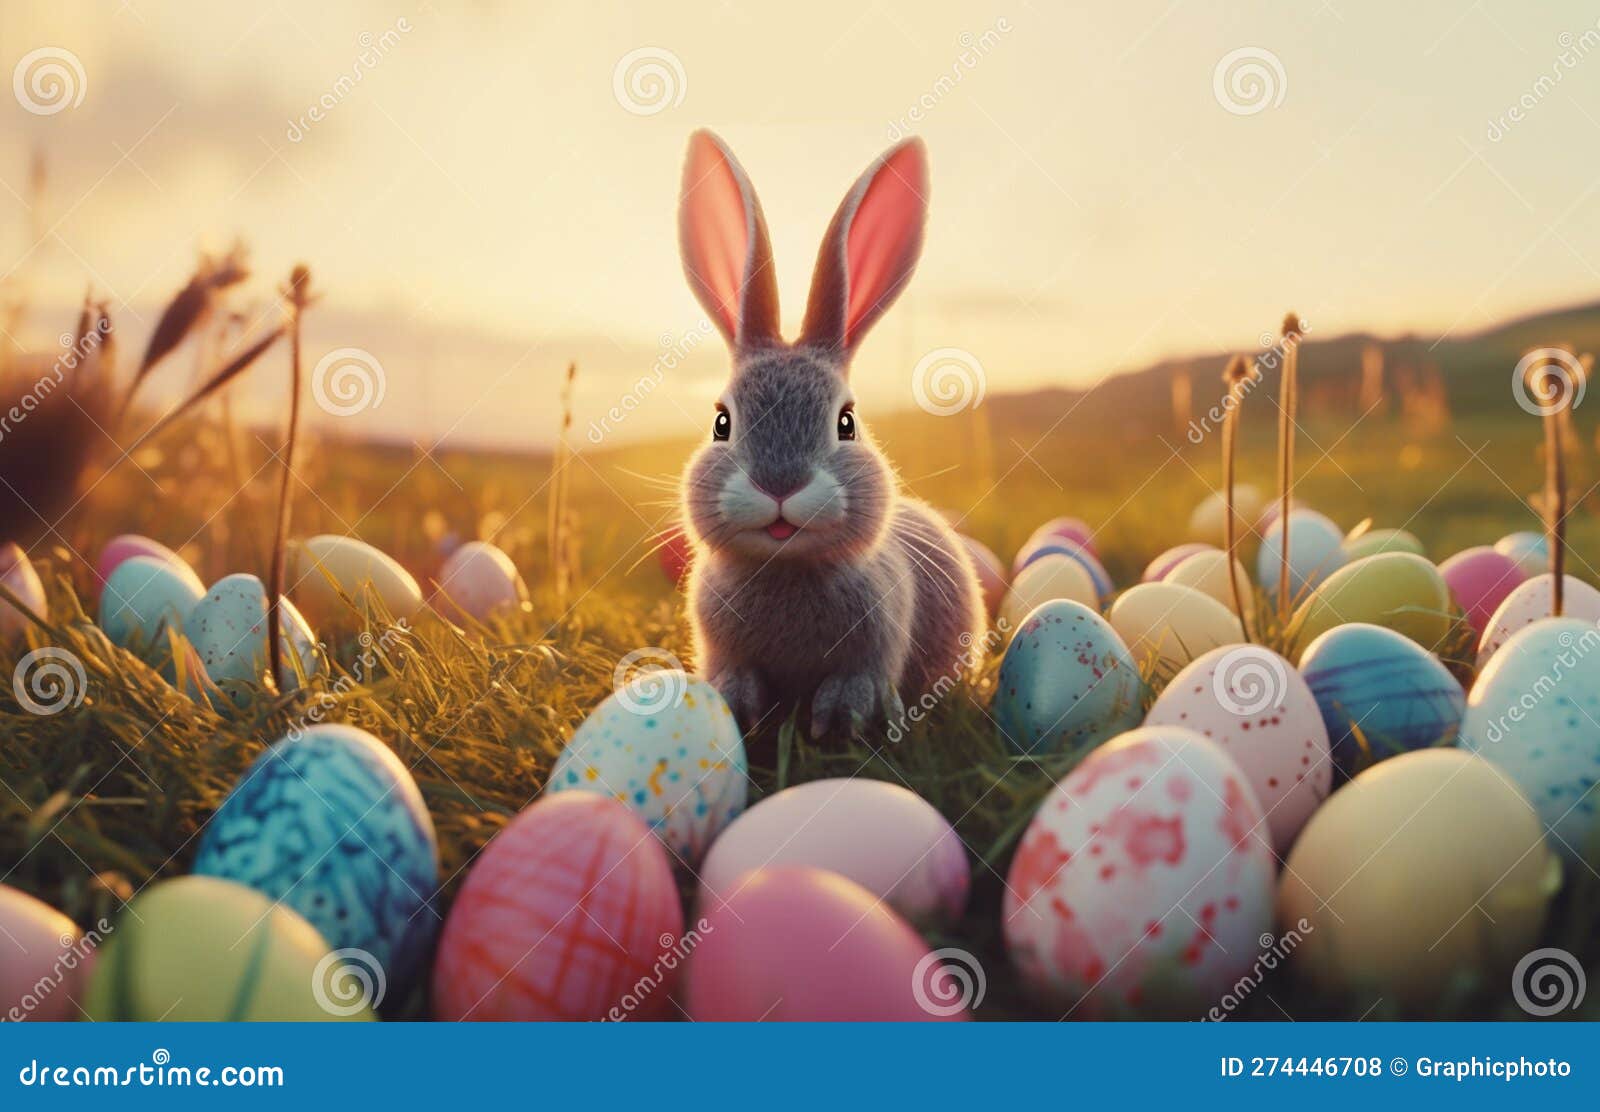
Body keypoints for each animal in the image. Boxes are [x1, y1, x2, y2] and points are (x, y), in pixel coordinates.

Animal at [676, 129, 986, 737]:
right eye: (722, 422)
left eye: (847, 423)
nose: (780, 485)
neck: (786, 567)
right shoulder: (723, 646)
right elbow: (734, 674)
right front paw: (737, 706)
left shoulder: (877, 646)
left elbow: (859, 678)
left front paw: (839, 719)